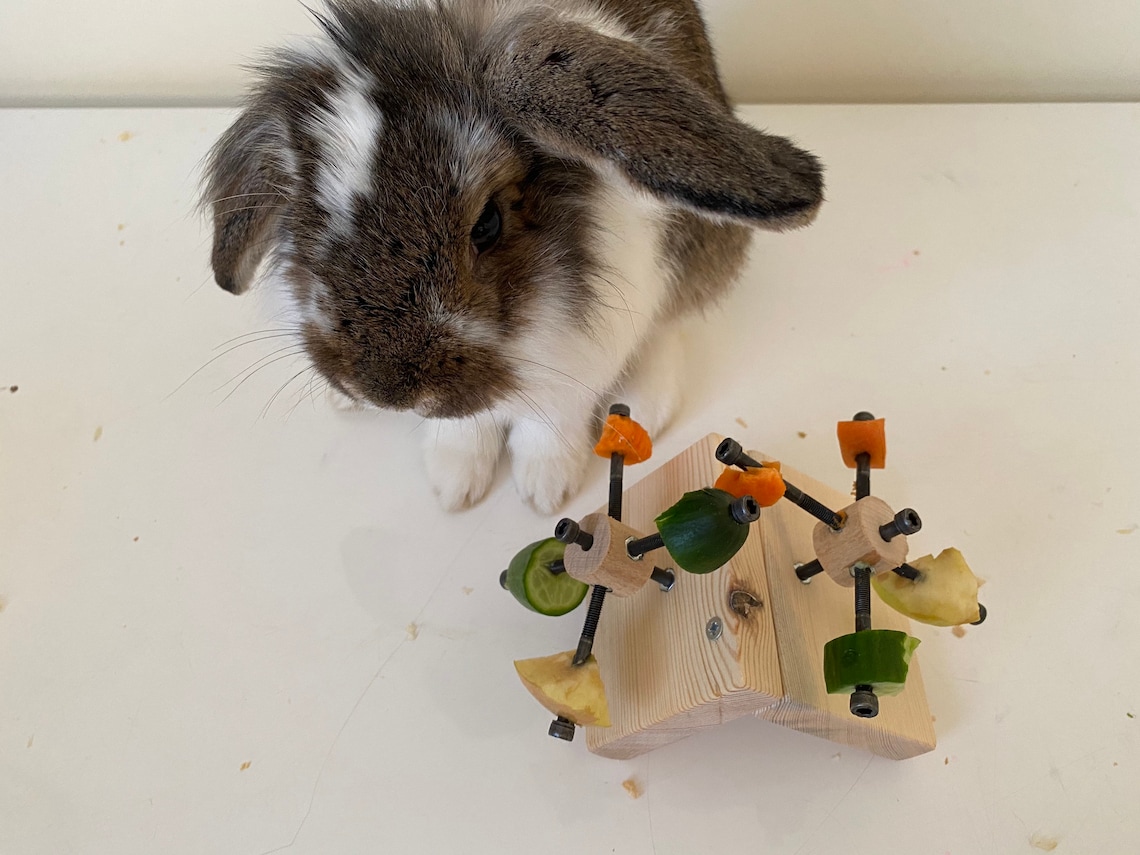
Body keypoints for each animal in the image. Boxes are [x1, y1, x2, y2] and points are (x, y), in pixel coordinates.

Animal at [203, 0, 824, 513]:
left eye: (487, 225)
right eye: (309, 214)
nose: (386, 391)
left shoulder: (576, 368)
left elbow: (547, 429)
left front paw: (544, 490)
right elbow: (463, 432)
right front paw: (456, 482)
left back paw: (643, 406)